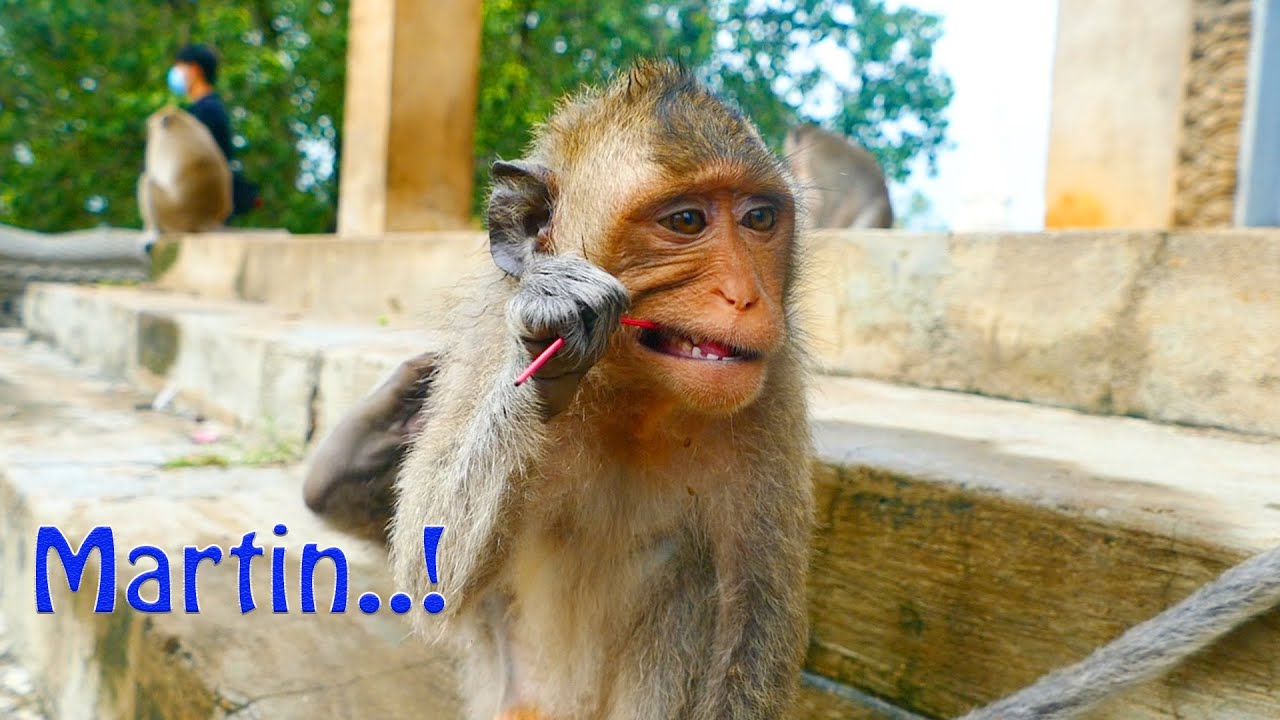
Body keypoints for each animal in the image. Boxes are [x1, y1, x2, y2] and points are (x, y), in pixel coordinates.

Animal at [136, 106, 233, 240]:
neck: (180, 122)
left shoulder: (158, 144)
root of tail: (203, 220)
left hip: (171, 214)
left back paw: (153, 230)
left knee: (146, 181)